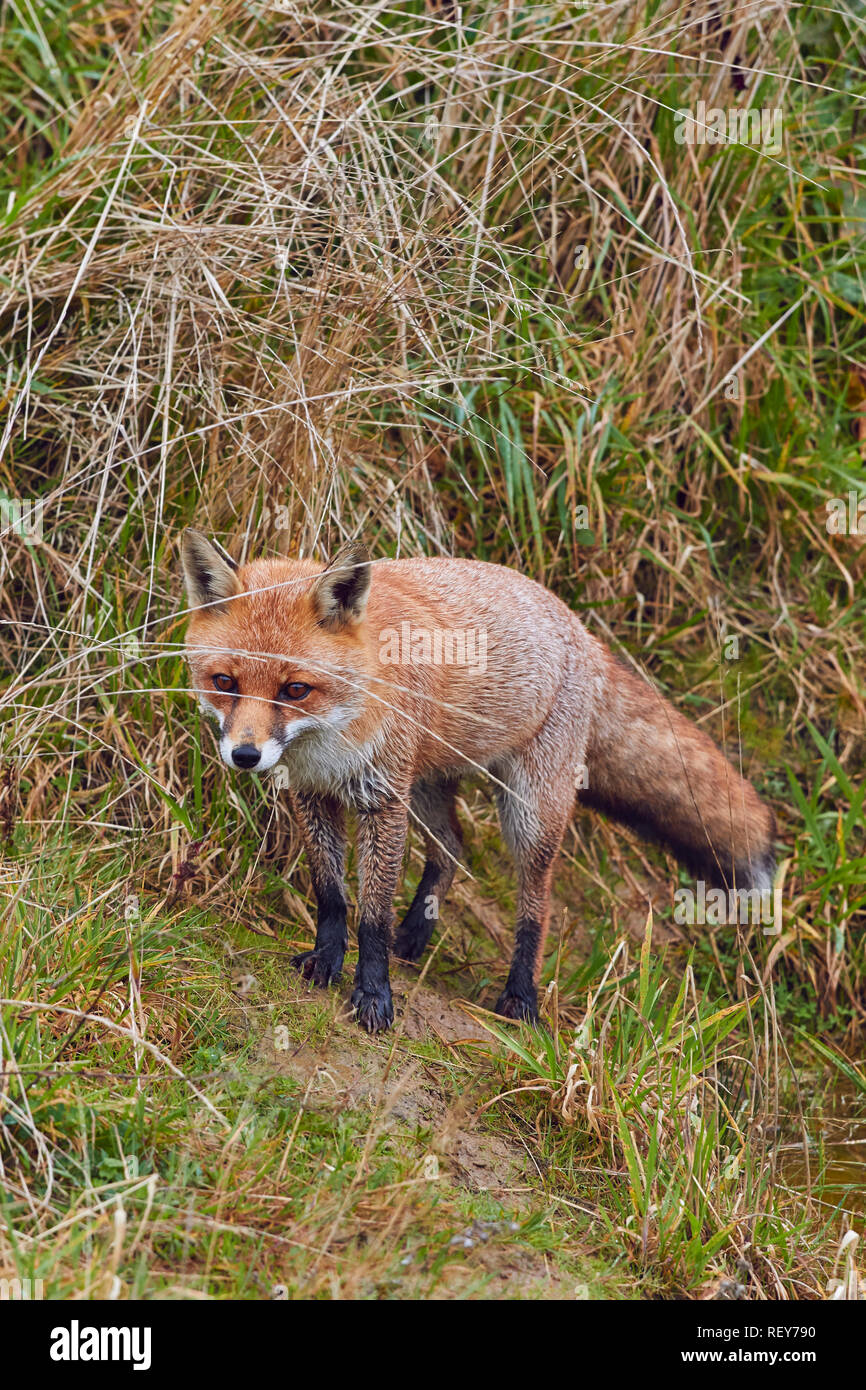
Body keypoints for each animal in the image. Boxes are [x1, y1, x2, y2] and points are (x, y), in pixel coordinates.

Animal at [179, 530, 778, 1034]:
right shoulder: (316, 796)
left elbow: (372, 917)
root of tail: (584, 632)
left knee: (537, 903)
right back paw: (415, 937)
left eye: (295, 690)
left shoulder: (382, 801)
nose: (245, 756)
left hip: (528, 813)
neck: (333, 738)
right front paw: (327, 961)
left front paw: (373, 996)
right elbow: (331, 895)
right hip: (427, 786)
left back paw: (520, 996)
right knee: (454, 850)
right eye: (225, 682)